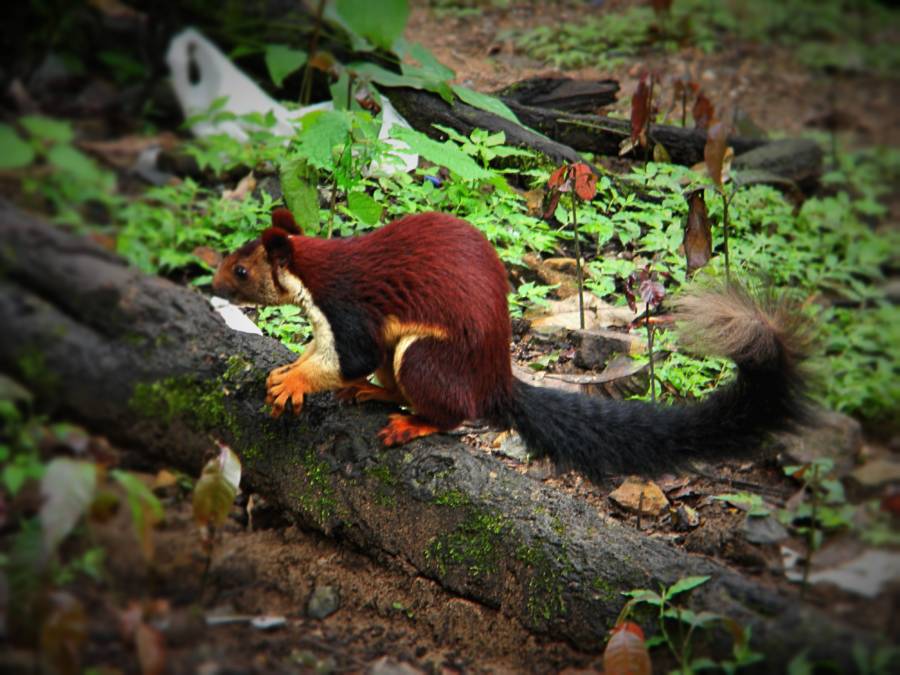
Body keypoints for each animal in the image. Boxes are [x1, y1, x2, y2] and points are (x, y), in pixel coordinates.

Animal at [212, 208, 810, 481]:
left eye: (241, 269)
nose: (211, 284)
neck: (313, 273)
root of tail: (496, 380)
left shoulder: (348, 311)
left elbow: (347, 359)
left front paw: (291, 382)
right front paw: (285, 373)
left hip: (423, 355)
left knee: (455, 411)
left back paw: (412, 422)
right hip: (401, 352)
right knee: (394, 382)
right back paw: (380, 396)